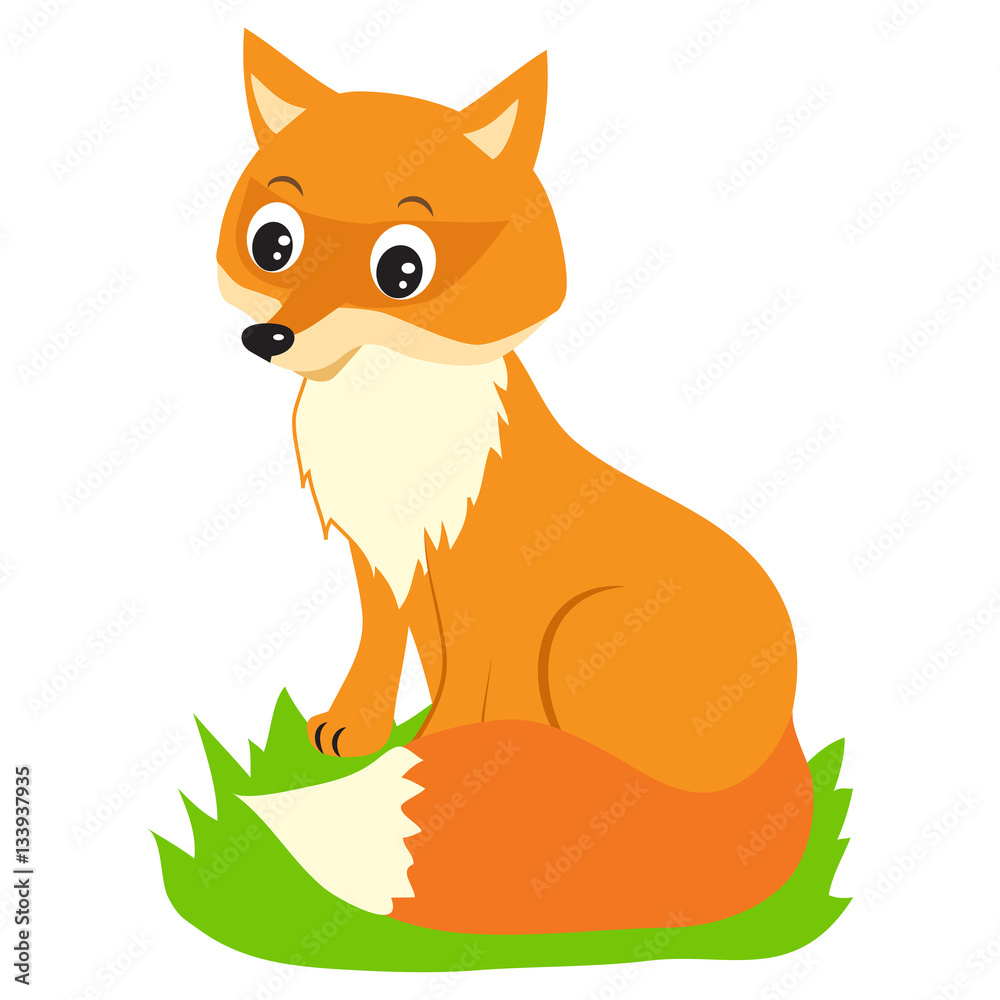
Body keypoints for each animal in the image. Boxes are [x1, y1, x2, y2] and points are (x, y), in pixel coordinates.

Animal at [217, 31, 812, 935]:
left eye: (402, 268)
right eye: (272, 243)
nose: (268, 338)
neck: (388, 421)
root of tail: (784, 735)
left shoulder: (480, 572)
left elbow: (468, 686)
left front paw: (446, 758)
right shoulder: (379, 556)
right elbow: (381, 650)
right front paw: (356, 731)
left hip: (583, 633)